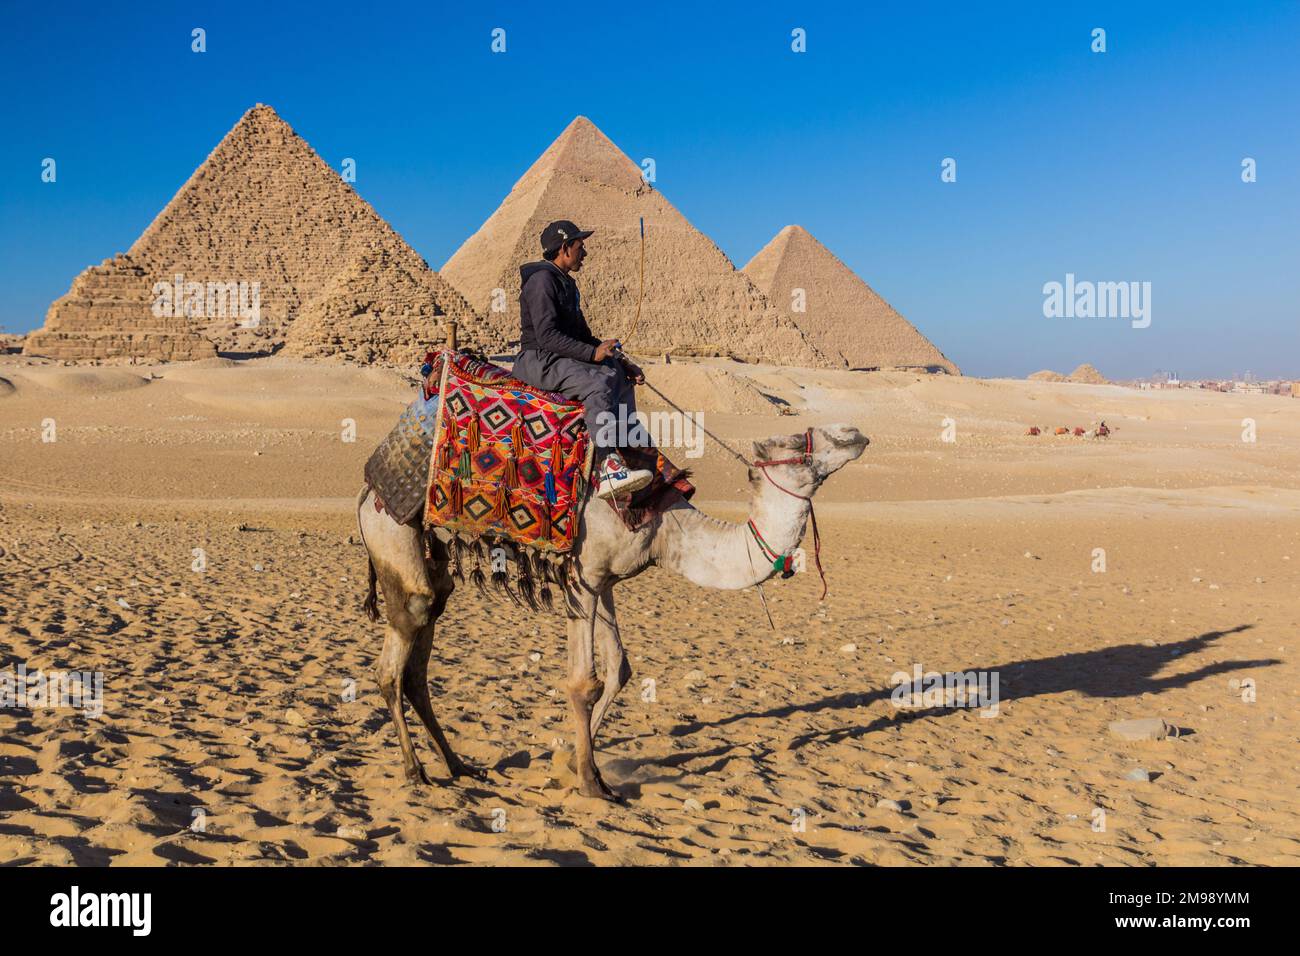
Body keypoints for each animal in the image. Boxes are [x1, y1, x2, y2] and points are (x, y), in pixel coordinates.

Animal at [356, 423, 869, 800]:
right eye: (797, 444)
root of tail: (365, 493)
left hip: (433, 563)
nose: (854, 432)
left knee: (419, 663)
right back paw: (415, 770)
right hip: (394, 538)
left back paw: (459, 765)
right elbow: (583, 682)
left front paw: (572, 761)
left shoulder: (603, 582)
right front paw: (589, 783)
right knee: (393, 665)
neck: (667, 528)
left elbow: (619, 669)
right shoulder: (582, 574)